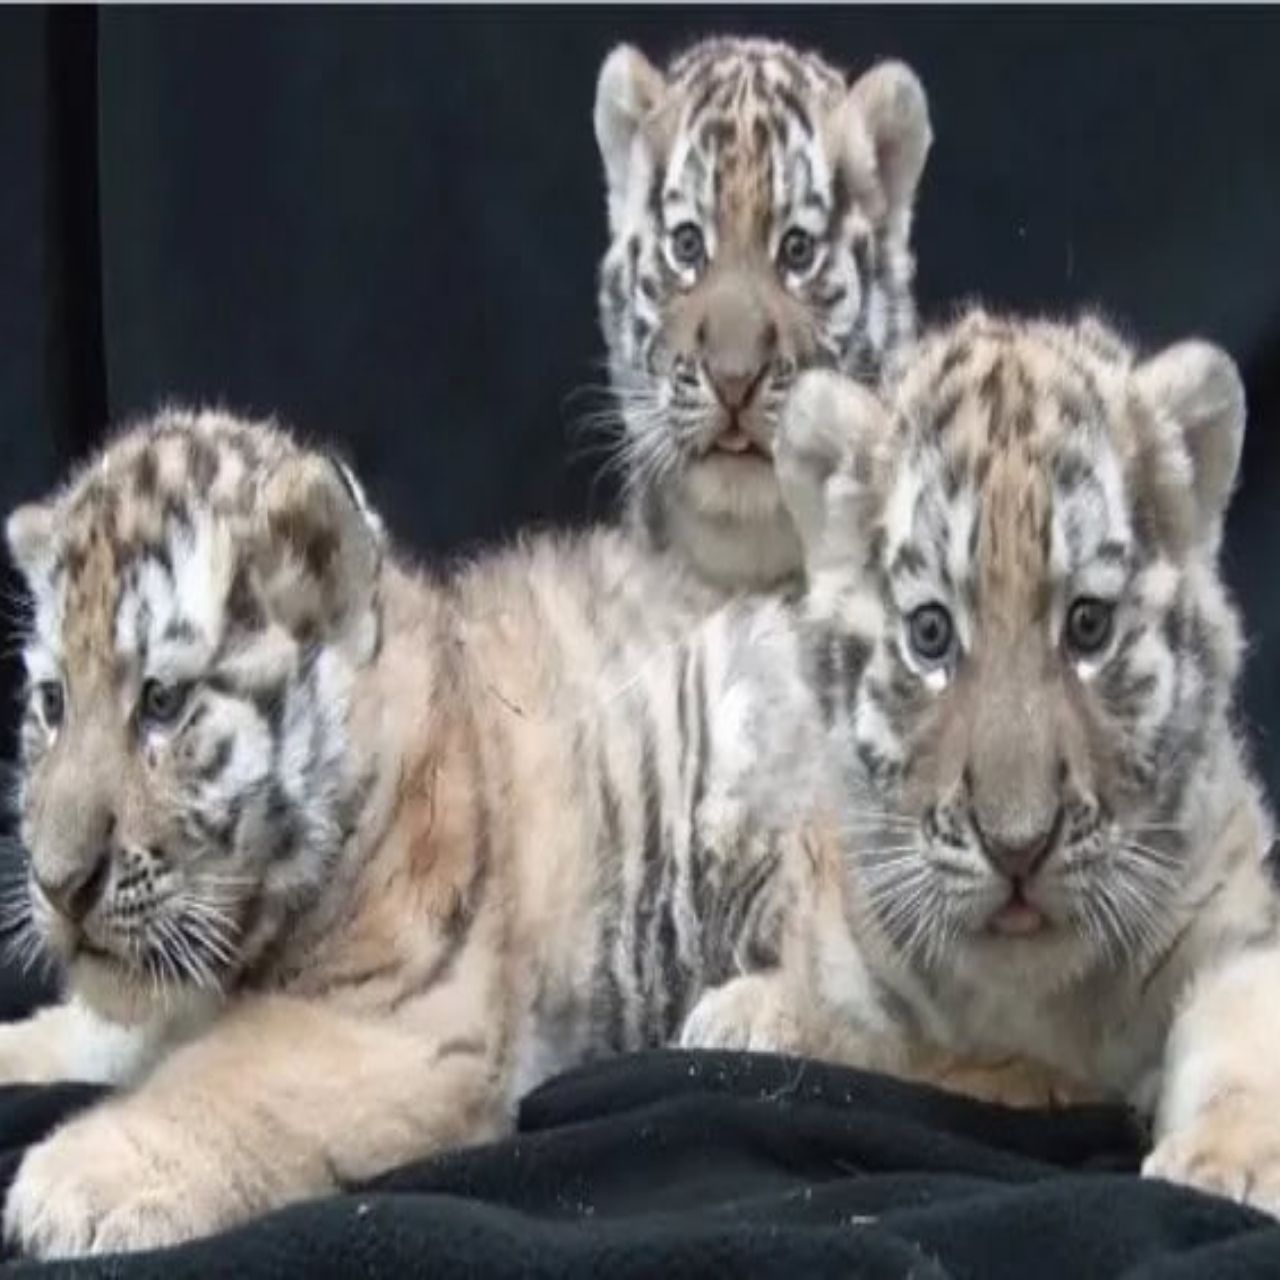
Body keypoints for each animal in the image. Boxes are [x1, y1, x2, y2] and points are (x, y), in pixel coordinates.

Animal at [0, 407, 1065, 1259]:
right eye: (51, 704)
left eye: (161, 704)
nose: (58, 883)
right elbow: (77, 1032)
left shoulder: (402, 1027)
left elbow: (230, 1083)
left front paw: (76, 1182)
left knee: (1013, 1060)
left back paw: (747, 1015)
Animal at [712, 308, 1280, 1216]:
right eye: (931, 634)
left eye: (1088, 626)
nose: (1019, 848)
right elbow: (883, 1039)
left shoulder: (1232, 927)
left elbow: (1245, 1028)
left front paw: (1232, 1160)